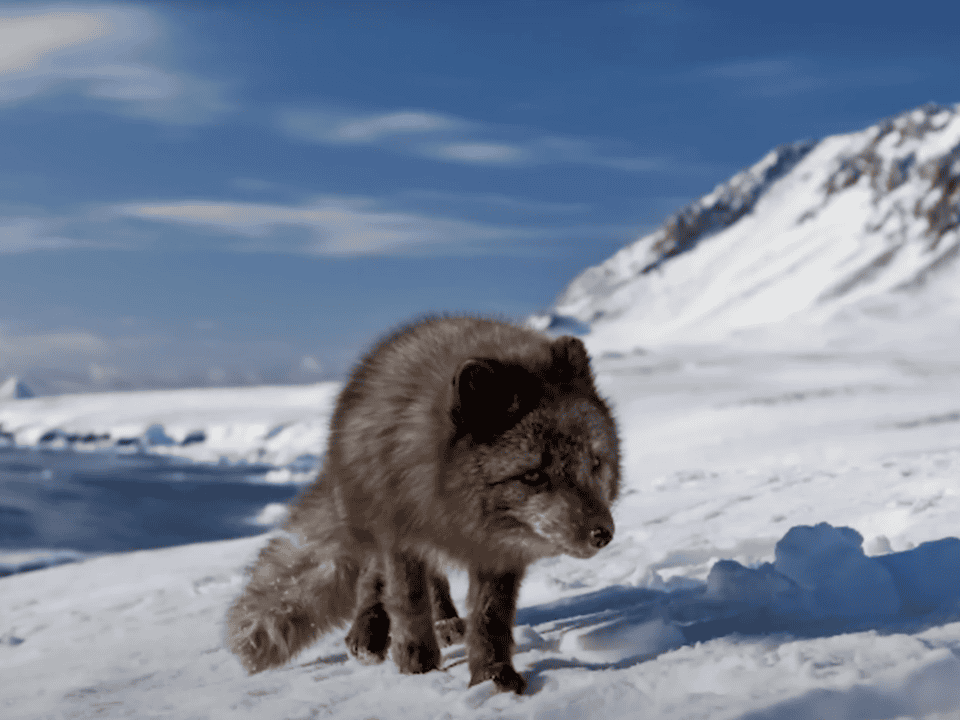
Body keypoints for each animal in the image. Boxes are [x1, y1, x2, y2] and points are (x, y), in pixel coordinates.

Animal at [225, 316, 620, 694]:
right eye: (534, 475)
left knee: (434, 584)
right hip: (372, 519)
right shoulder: (400, 532)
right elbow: (408, 602)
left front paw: (492, 677)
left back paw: (445, 622)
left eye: (594, 463)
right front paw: (418, 666)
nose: (602, 534)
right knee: (374, 579)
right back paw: (369, 635)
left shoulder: (499, 553)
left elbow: (491, 618)